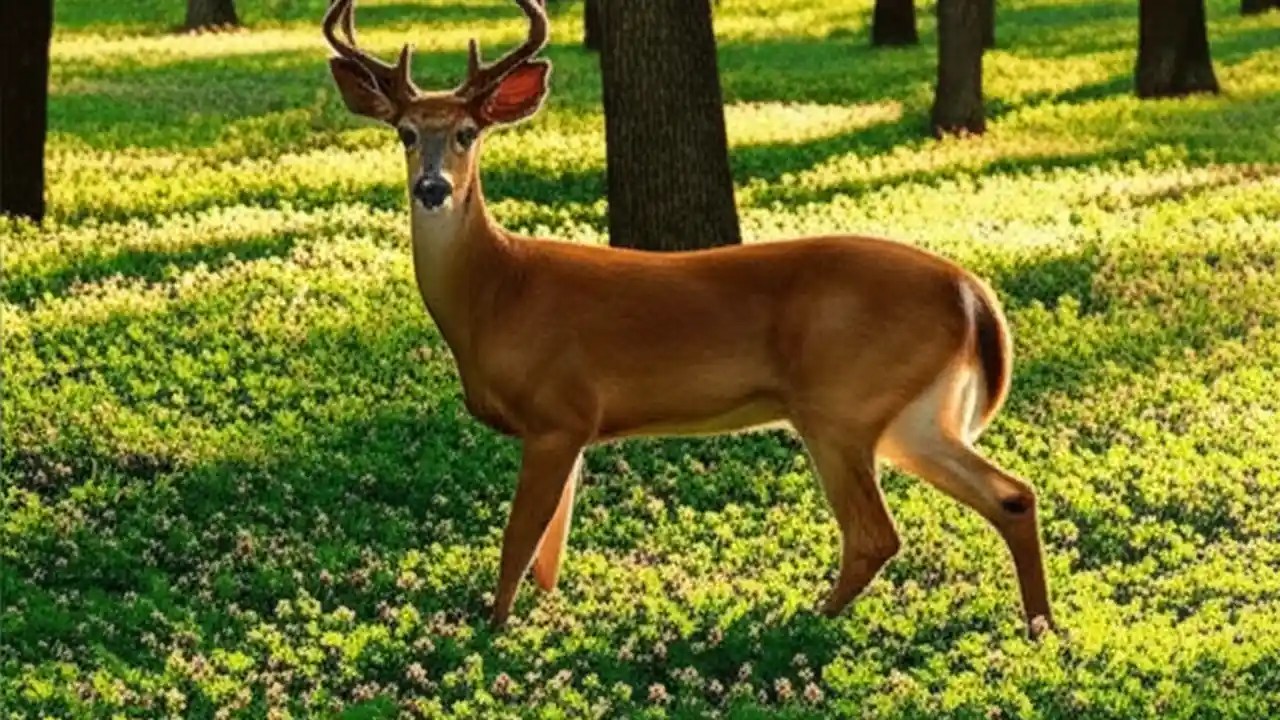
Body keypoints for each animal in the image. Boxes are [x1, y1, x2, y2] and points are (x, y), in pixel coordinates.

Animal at [320, 0, 1054, 637]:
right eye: (406, 133)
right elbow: (550, 555)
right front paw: (543, 618)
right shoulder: (573, 430)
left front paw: (493, 628)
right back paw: (1041, 627)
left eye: (467, 132)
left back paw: (801, 622)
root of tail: (971, 290)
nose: (433, 188)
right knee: (1013, 494)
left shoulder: (559, 413)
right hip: (913, 415)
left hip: (841, 402)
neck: (497, 292)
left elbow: (518, 541)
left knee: (875, 533)